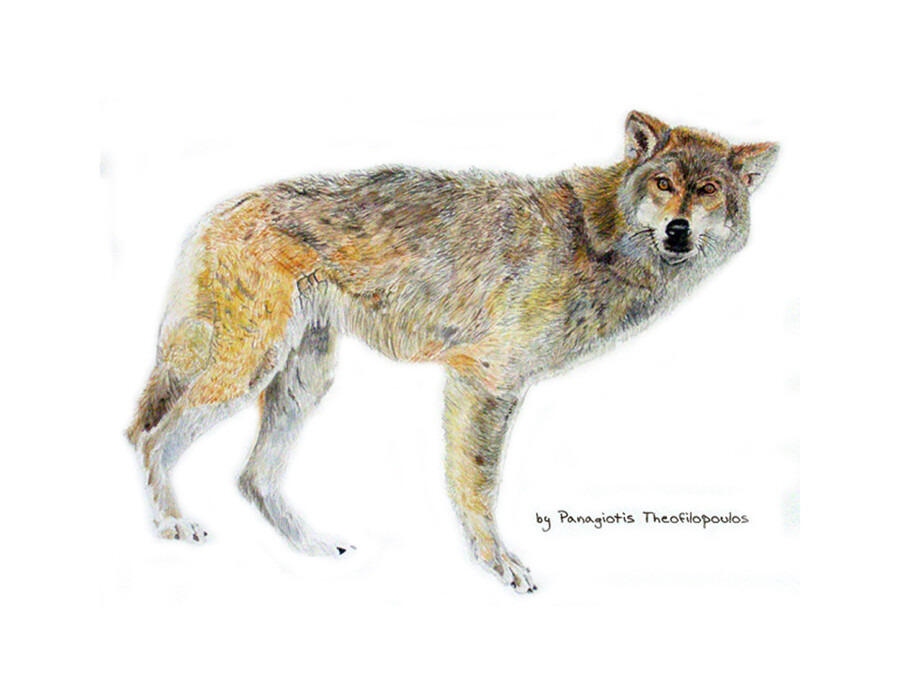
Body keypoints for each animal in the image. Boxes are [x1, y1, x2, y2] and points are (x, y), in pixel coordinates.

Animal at [127, 111, 777, 593]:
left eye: (708, 191)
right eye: (664, 184)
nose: (678, 230)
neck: (599, 239)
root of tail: (218, 212)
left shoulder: (490, 385)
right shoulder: (485, 381)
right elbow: (478, 488)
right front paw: (497, 564)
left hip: (303, 381)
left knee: (252, 477)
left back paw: (316, 548)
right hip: (247, 369)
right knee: (150, 437)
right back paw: (171, 523)